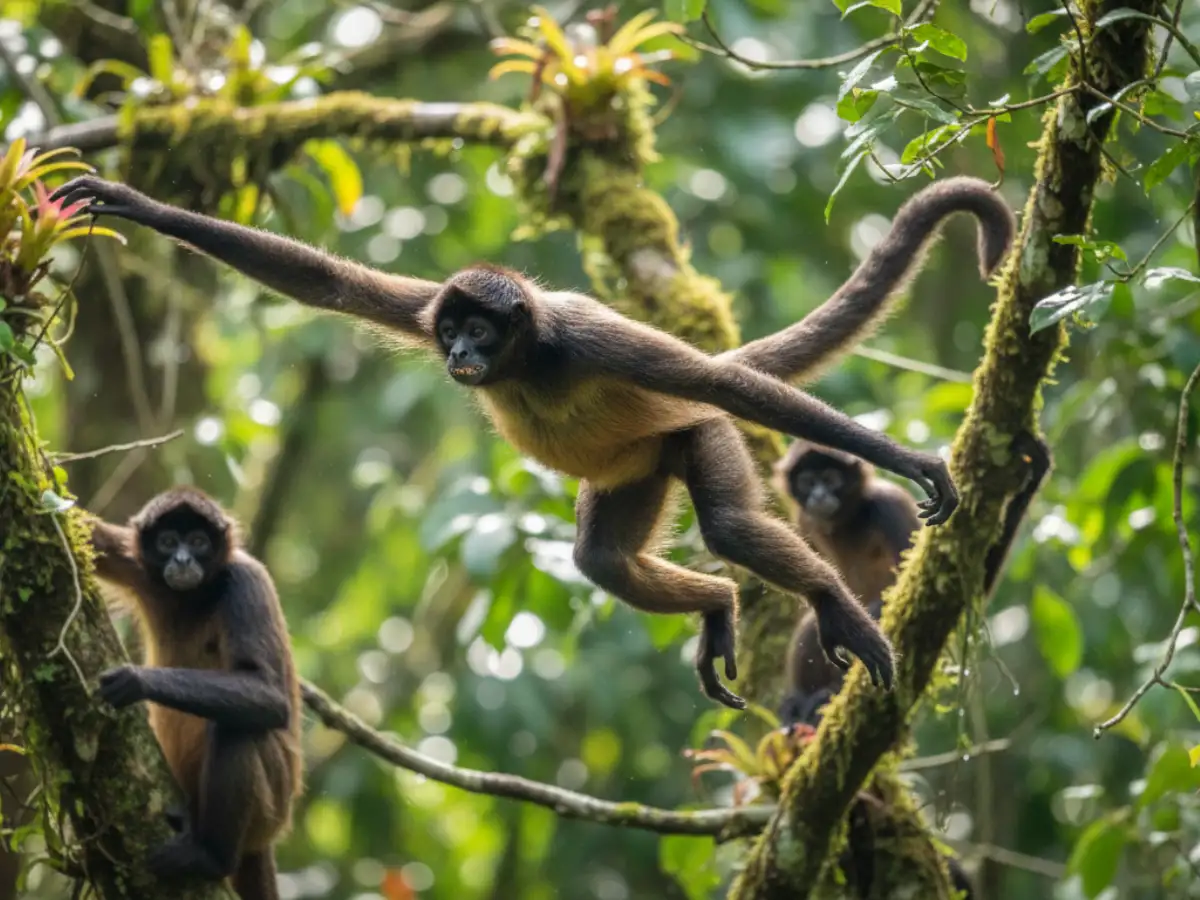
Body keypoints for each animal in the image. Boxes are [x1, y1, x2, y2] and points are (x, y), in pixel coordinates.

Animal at [53, 174, 1016, 710]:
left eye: (481, 332)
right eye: (451, 333)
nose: (460, 356)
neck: (529, 357)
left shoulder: (594, 338)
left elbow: (725, 385)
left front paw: (910, 462)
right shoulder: (425, 303)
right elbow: (326, 283)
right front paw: (134, 206)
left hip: (690, 435)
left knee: (726, 497)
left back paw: (831, 604)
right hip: (638, 471)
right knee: (601, 558)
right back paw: (715, 606)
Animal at [87, 487, 302, 900]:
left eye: (199, 542)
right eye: (169, 542)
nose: (183, 559)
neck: (193, 598)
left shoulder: (244, 580)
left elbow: (269, 695)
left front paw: (135, 679)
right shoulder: (140, 565)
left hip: (273, 803)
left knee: (236, 726)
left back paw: (212, 859)